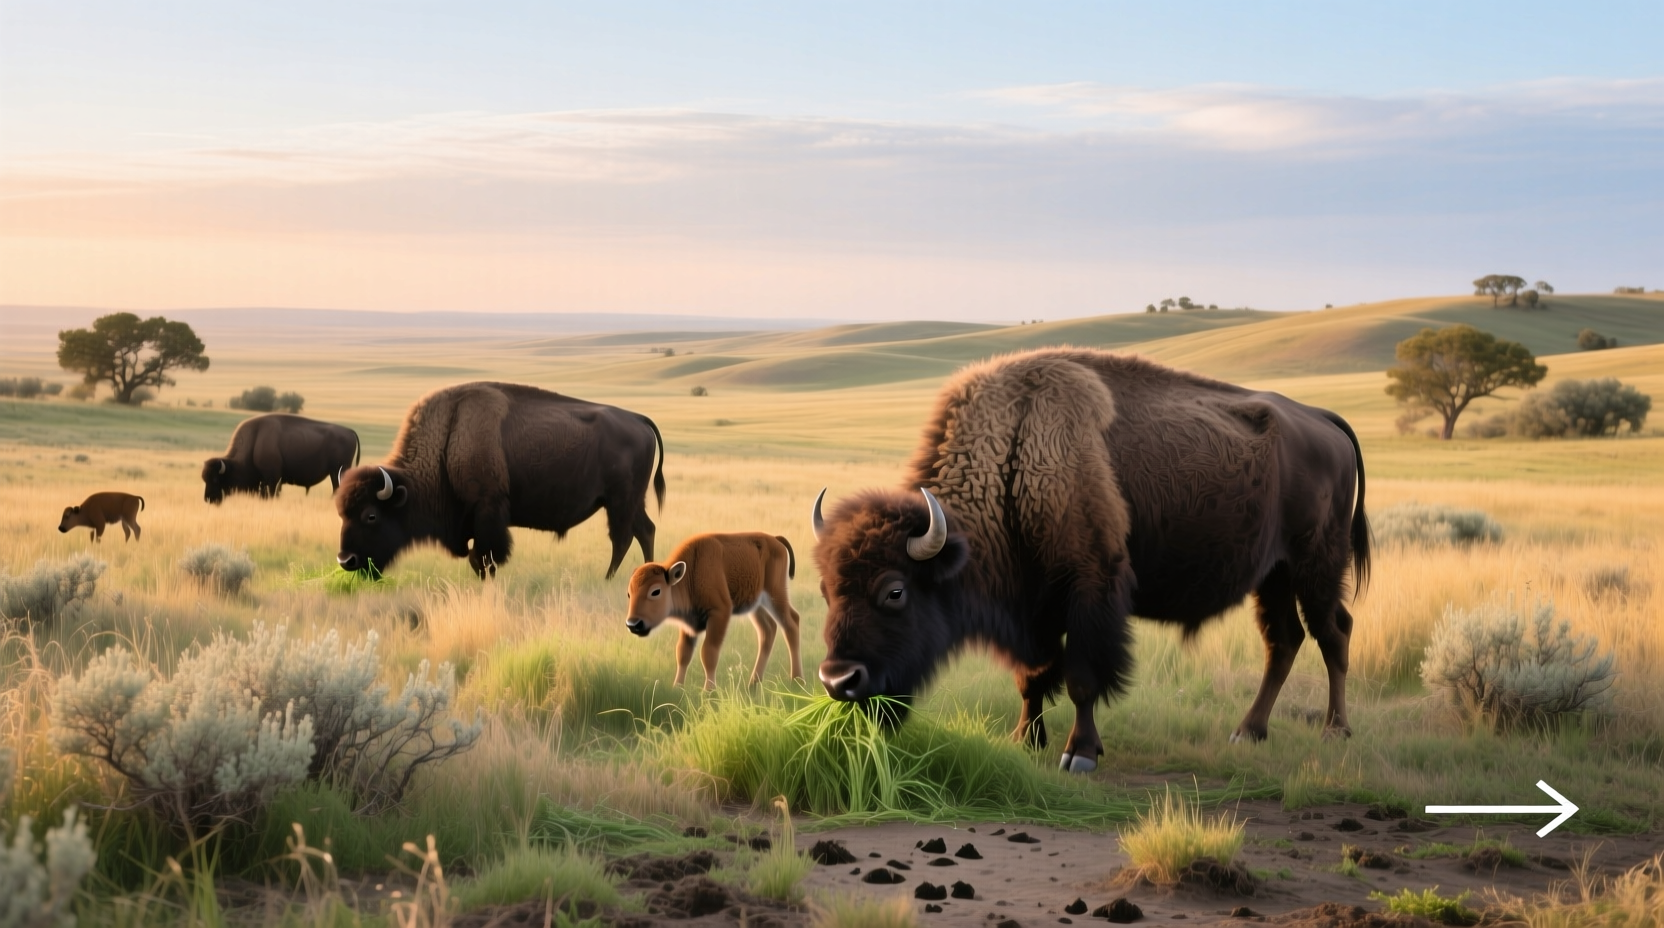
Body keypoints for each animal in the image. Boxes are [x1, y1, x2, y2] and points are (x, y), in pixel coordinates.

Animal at [202, 413, 360, 504]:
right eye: (204, 479)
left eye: (216, 479)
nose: (208, 499)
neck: (254, 441)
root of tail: (349, 431)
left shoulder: (272, 478)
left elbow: (273, 493)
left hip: (338, 470)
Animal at [335, 381, 666, 579]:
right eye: (341, 514)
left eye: (371, 515)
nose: (346, 560)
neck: (448, 439)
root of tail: (639, 419)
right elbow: (477, 557)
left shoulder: (488, 512)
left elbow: (483, 557)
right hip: (631, 501)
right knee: (645, 531)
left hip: (619, 502)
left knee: (622, 538)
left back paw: (609, 579)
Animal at [811, 349, 1369, 772]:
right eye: (825, 590)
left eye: (895, 591)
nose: (838, 681)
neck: (1015, 450)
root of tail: (1322, 420)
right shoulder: (1032, 606)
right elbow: (1033, 675)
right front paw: (1024, 739)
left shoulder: (1088, 590)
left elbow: (1081, 677)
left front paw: (1079, 754)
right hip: (1272, 575)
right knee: (1284, 640)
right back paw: (1248, 732)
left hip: (1315, 565)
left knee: (1333, 632)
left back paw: (1335, 731)